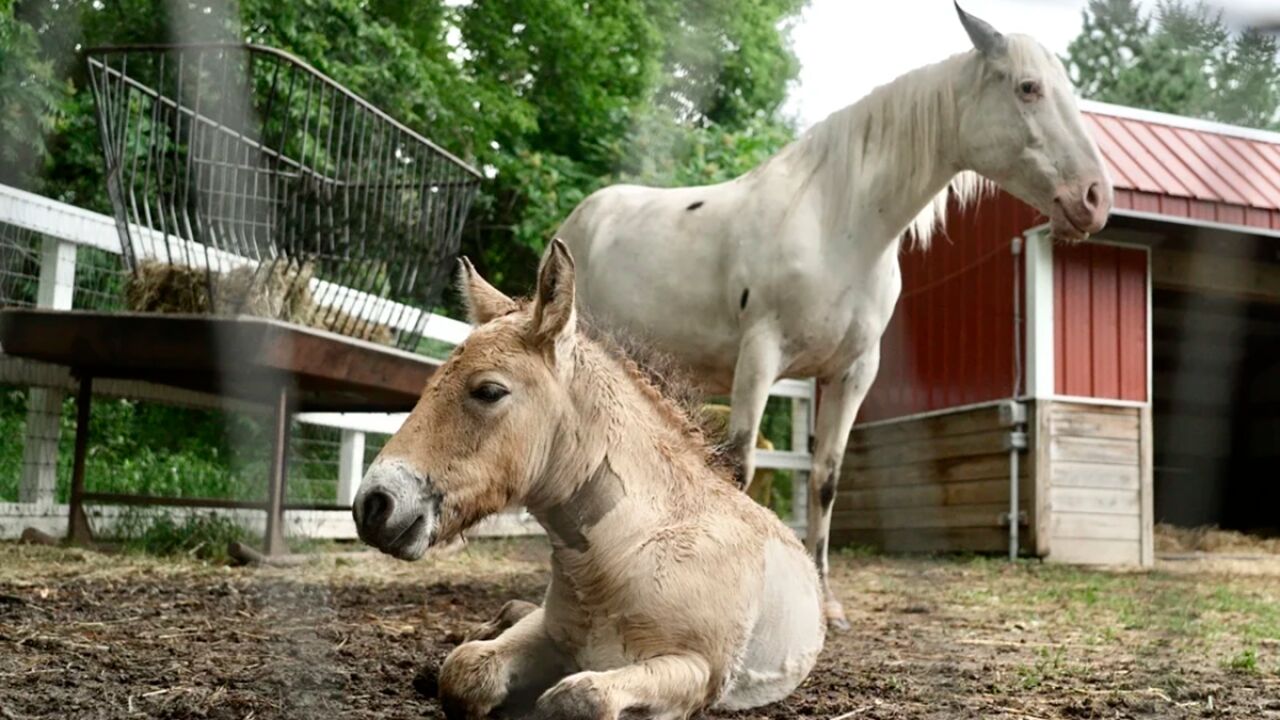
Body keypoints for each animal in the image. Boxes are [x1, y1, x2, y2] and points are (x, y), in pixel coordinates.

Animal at [353, 241, 826, 719]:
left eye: (488, 391)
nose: (373, 504)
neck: (624, 552)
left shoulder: (699, 669)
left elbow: (577, 699)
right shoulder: (548, 632)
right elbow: (464, 671)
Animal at [553, 3, 1113, 630]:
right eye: (1028, 87)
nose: (1095, 199)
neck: (837, 225)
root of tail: (577, 222)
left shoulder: (851, 373)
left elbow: (825, 480)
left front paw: (827, 603)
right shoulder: (760, 358)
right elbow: (739, 470)